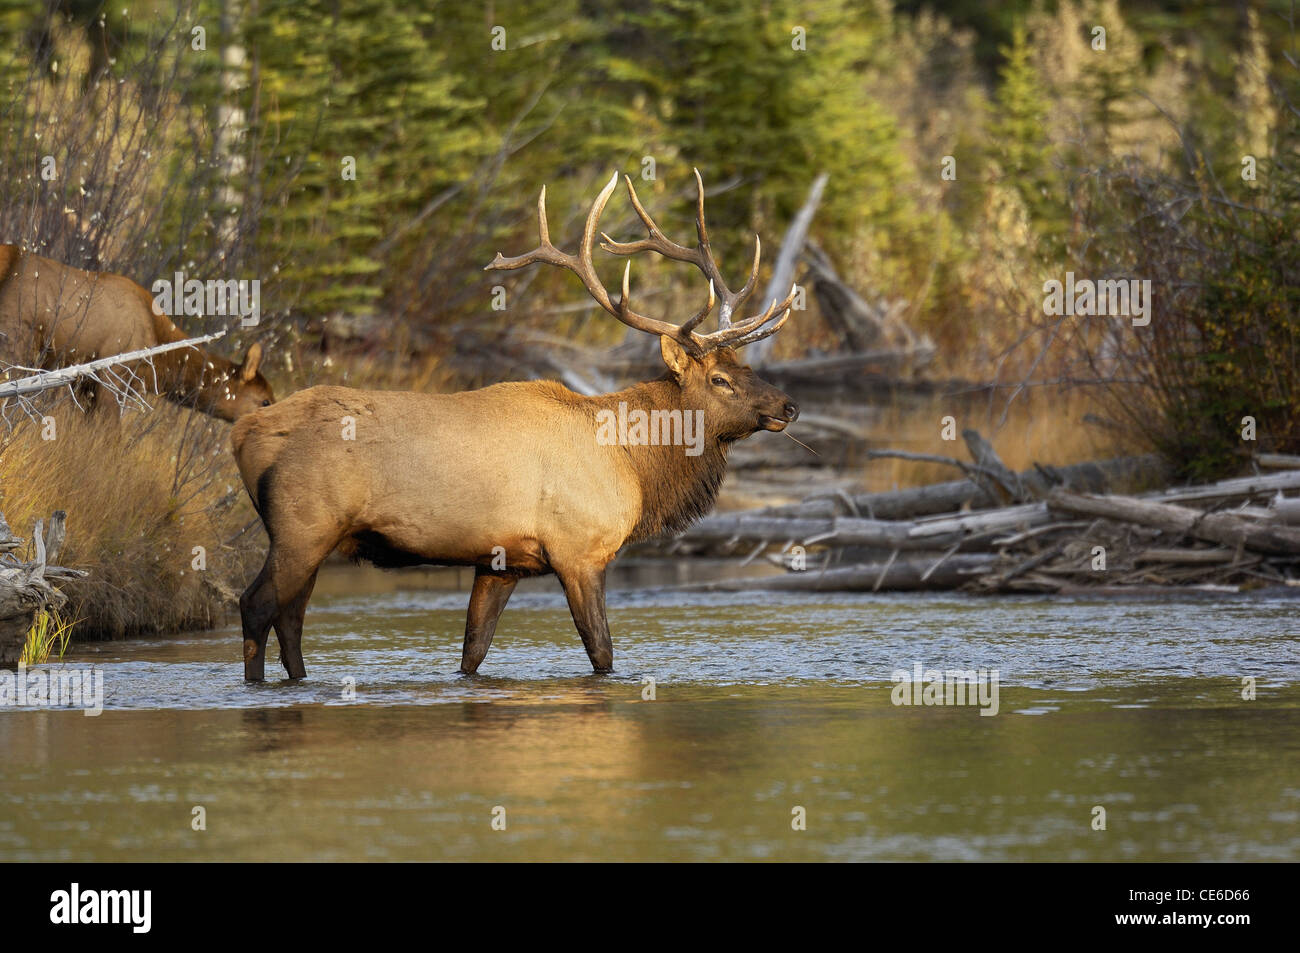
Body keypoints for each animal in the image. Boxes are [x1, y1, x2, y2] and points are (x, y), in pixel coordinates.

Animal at [236, 169, 800, 676]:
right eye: (721, 380)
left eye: (746, 367)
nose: (789, 406)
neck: (635, 464)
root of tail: (242, 433)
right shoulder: (579, 550)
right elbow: (601, 653)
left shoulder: (500, 562)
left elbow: (473, 652)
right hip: (302, 527)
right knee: (256, 607)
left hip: (310, 538)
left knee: (291, 619)